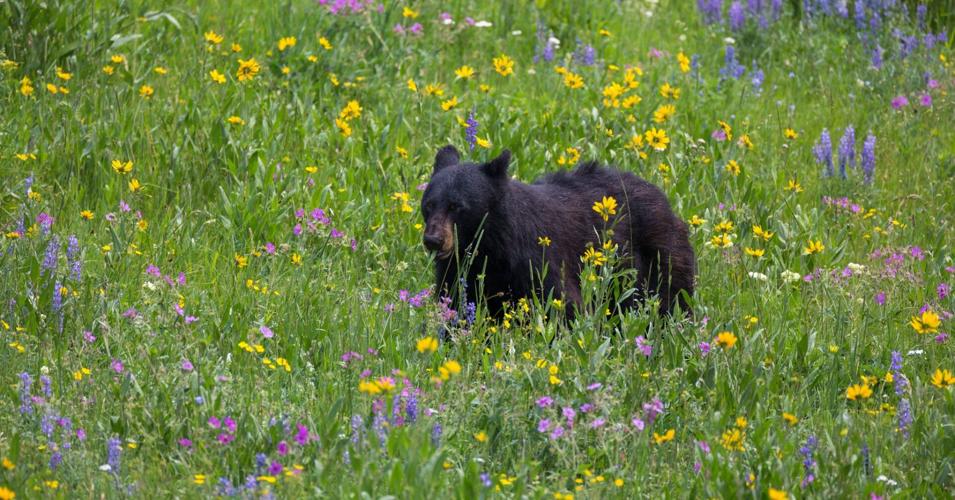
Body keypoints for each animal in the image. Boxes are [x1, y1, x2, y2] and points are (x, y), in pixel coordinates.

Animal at [421, 144, 695, 322]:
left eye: (457, 207)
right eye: (429, 205)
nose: (433, 240)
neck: (489, 245)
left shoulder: (537, 260)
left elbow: (563, 303)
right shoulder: (459, 269)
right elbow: (455, 302)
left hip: (658, 258)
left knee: (670, 298)